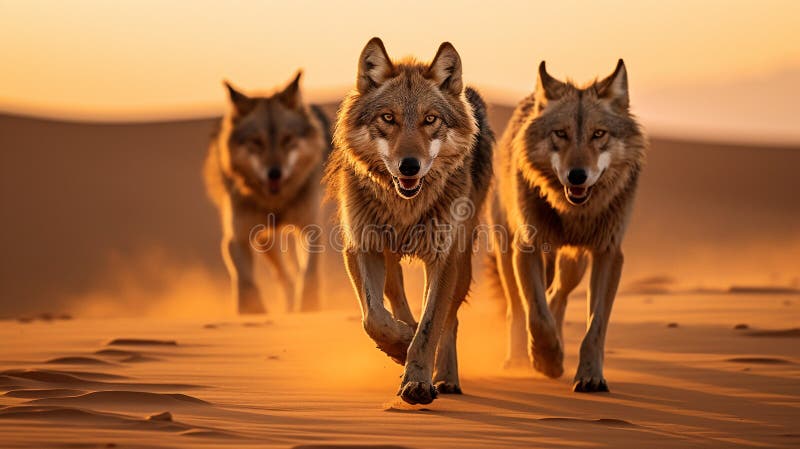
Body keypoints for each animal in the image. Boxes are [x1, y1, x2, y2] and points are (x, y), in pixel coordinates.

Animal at [204, 72, 331, 314]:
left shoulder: (310, 228)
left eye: (288, 139)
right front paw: (250, 312)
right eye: (256, 142)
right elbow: (245, 280)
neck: (275, 202)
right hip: (266, 241)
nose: (274, 173)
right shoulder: (237, 238)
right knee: (283, 275)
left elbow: (309, 273)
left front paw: (308, 308)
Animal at [325, 38, 494, 405]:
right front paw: (401, 345)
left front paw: (417, 381)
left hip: (462, 262)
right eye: (389, 118)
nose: (409, 166)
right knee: (395, 296)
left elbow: (432, 327)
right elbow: (373, 317)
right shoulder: (361, 247)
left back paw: (445, 378)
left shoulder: (443, 260)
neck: (404, 208)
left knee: (450, 320)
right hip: (389, 257)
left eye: (430, 119)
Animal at [488, 60, 646, 392]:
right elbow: (537, 315)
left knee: (557, 295)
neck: (573, 212)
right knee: (517, 309)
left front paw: (590, 376)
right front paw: (546, 360)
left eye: (598, 134)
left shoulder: (609, 253)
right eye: (560, 133)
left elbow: (595, 326)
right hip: (507, 253)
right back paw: (519, 360)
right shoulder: (528, 248)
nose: (577, 175)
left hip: (574, 261)